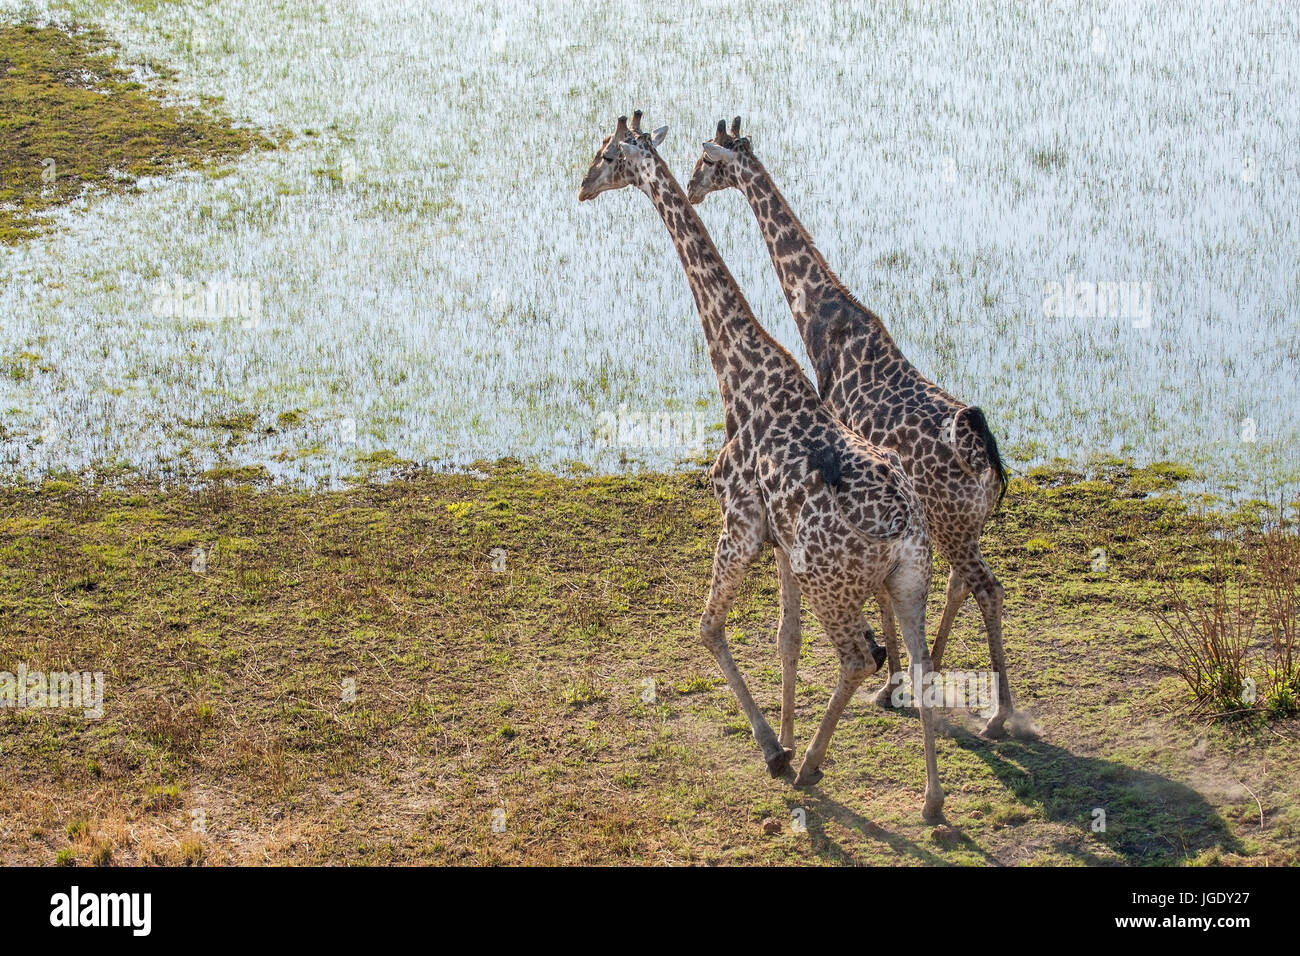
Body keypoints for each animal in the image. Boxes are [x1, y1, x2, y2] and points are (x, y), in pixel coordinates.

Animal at [579, 112, 944, 819]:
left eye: (607, 153)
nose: (582, 186)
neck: (739, 373)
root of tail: (900, 526)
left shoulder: (739, 526)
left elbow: (707, 628)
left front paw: (776, 749)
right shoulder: (780, 544)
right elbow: (784, 641)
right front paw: (785, 734)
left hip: (836, 581)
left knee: (858, 657)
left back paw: (811, 769)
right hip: (907, 579)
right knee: (916, 663)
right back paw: (932, 806)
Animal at [687, 117, 1016, 738]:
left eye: (708, 162)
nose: (692, 189)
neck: (820, 316)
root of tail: (984, 456)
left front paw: (888, 687)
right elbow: (886, 600)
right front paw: (894, 686)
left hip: (952, 523)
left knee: (987, 588)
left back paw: (998, 715)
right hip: (962, 525)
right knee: (960, 583)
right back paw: (937, 673)